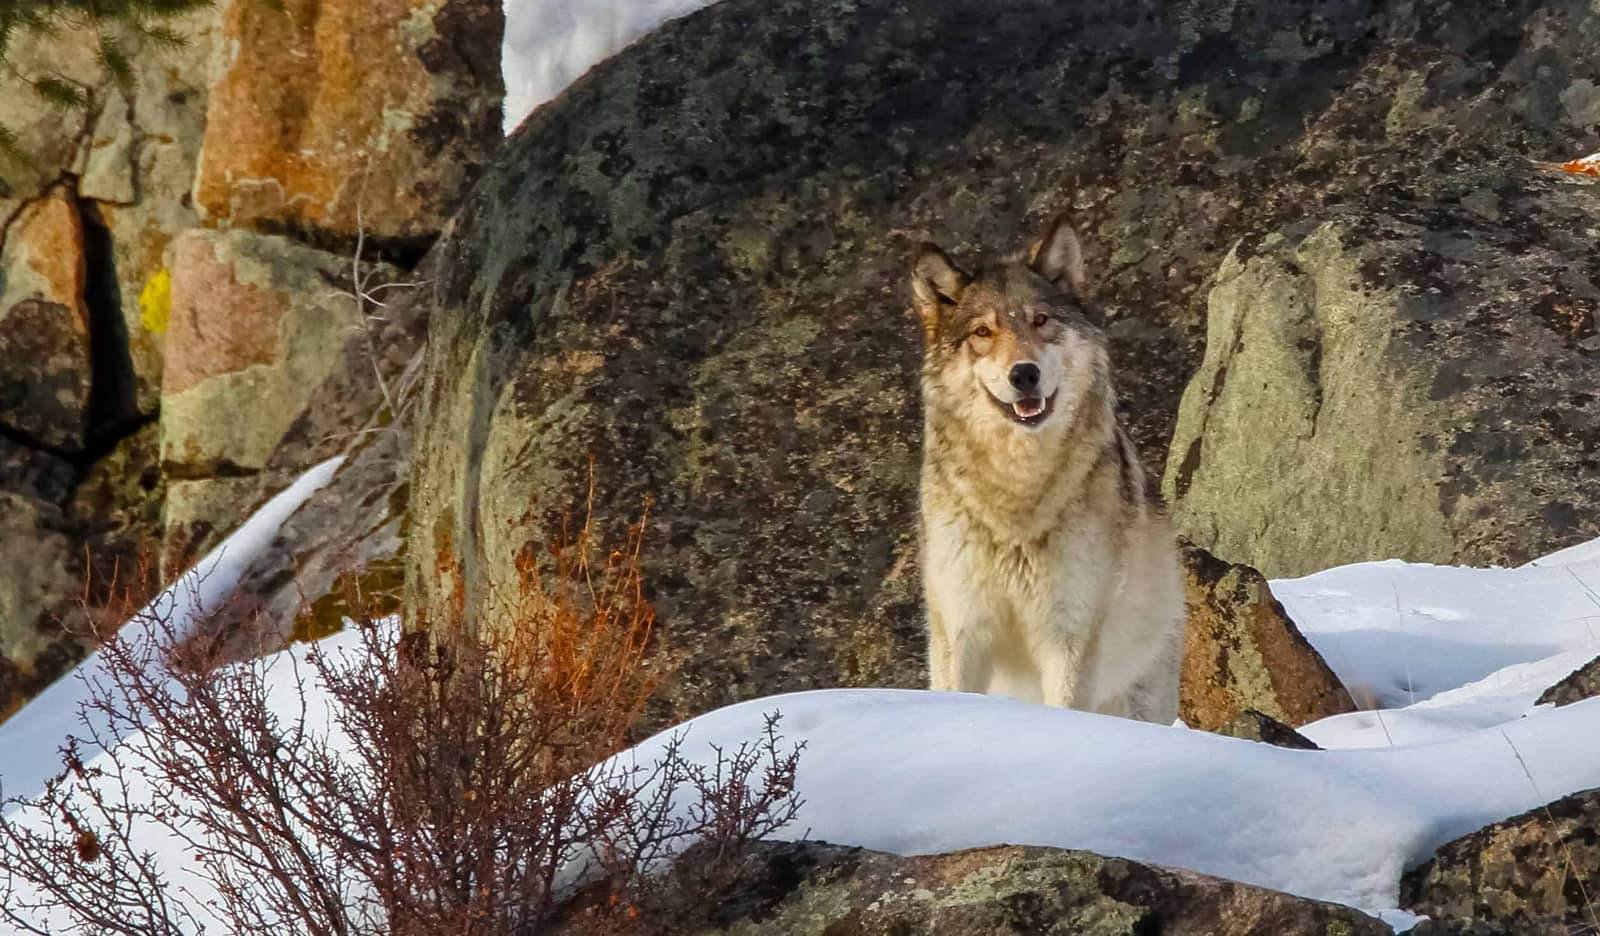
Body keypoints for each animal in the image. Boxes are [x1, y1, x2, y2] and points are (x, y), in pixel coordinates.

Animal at [910, 215, 1185, 723]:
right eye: (983, 332)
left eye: (1040, 320)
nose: (1024, 374)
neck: (1016, 496)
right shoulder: (963, 630)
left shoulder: (1068, 631)